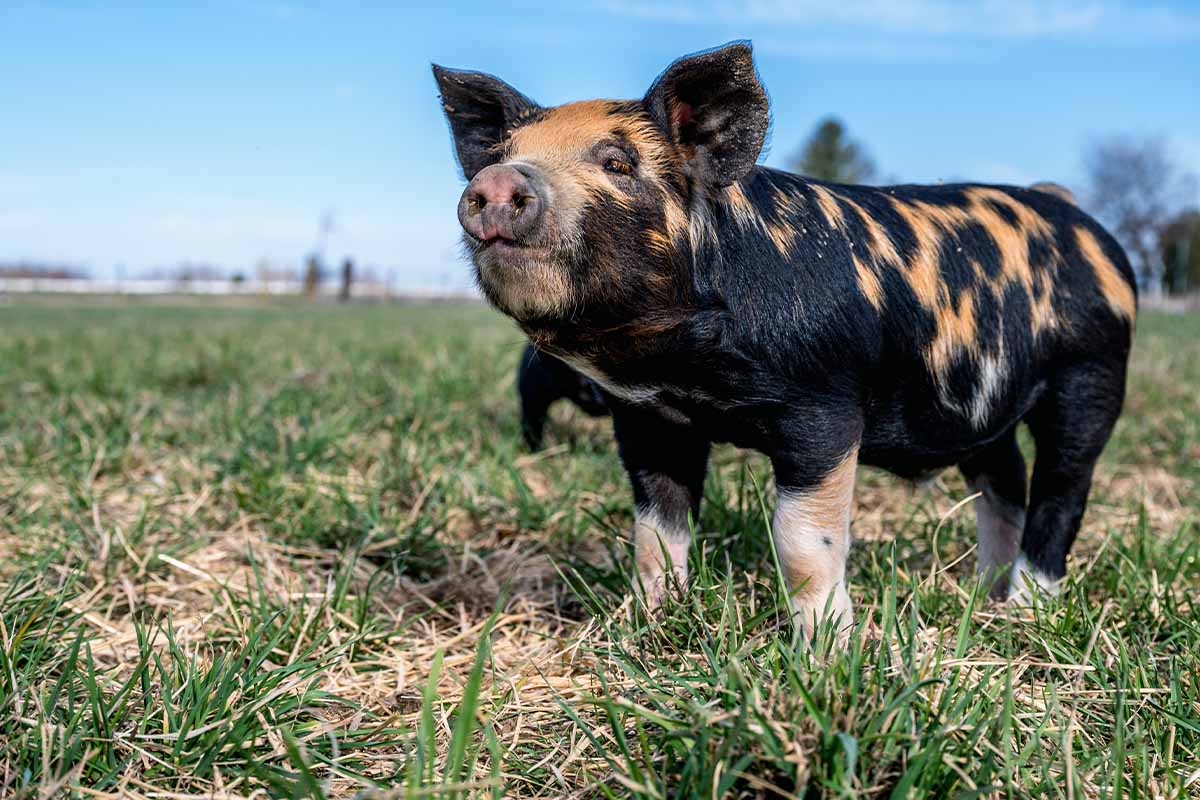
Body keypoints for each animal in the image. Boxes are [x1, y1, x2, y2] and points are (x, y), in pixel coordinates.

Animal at [433, 42, 1136, 640]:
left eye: (617, 163)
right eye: (501, 154)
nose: (498, 182)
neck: (689, 367)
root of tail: (1078, 217)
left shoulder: (823, 408)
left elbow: (802, 543)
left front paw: (824, 651)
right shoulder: (648, 417)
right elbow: (655, 532)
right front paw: (651, 626)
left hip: (1092, 374)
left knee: (1061, 491)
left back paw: (1025, 611)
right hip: (983, 409)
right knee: (1004, 481)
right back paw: (983, 596)